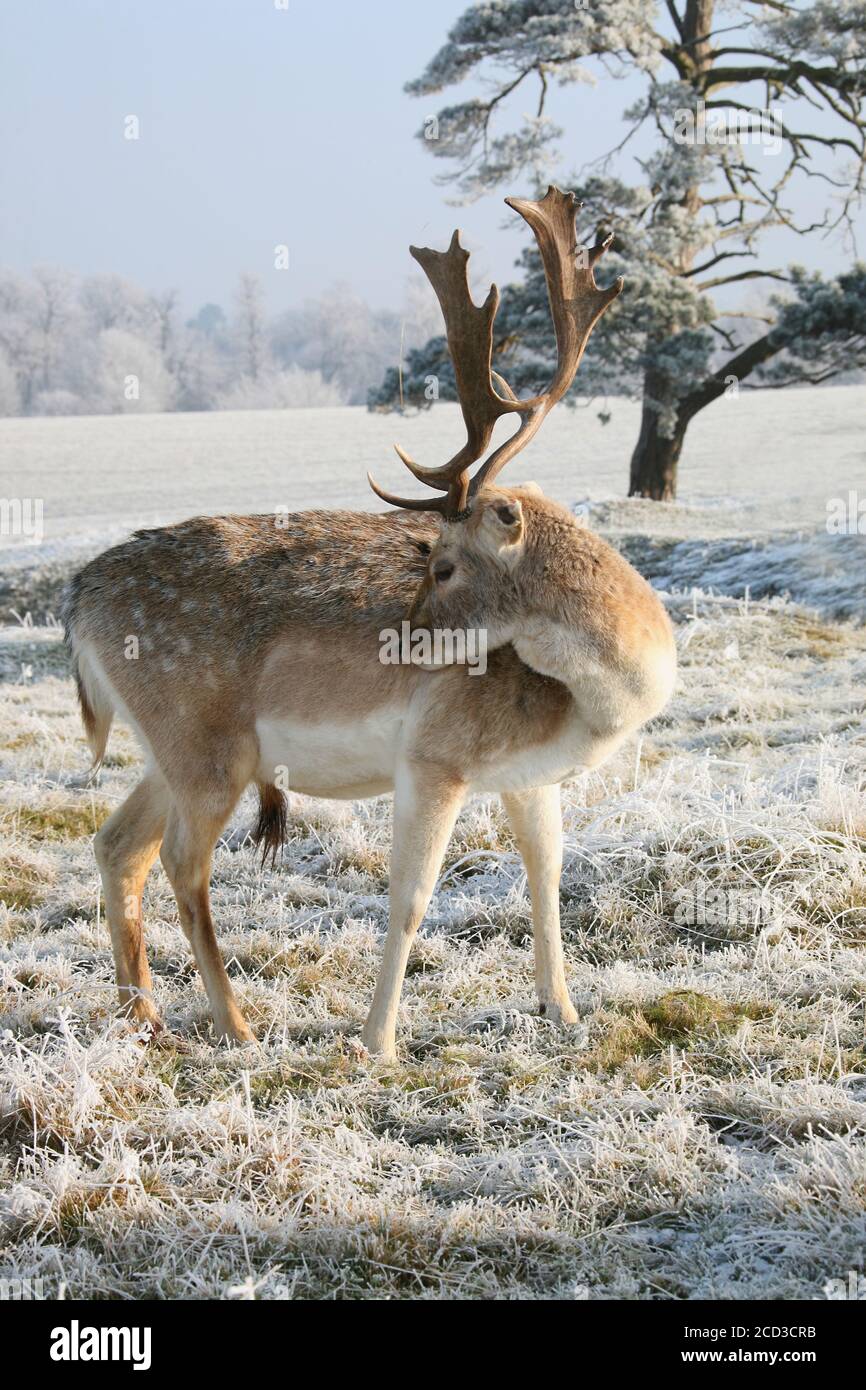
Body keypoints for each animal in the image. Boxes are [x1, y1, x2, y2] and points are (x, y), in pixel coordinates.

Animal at [64, 187, 676, 1059]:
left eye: (444, 564)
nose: (407, 636)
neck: (596, 704)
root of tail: (79, 599)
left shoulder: (532, 777)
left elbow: (547, 877)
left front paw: (563, 1011)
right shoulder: (433, 755)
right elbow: (411, 895)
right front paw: (378, 1040)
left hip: (169, 749)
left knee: (118, 845)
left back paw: (142, 1015)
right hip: (204, 744)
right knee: (183, 863)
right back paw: (236, 1025)